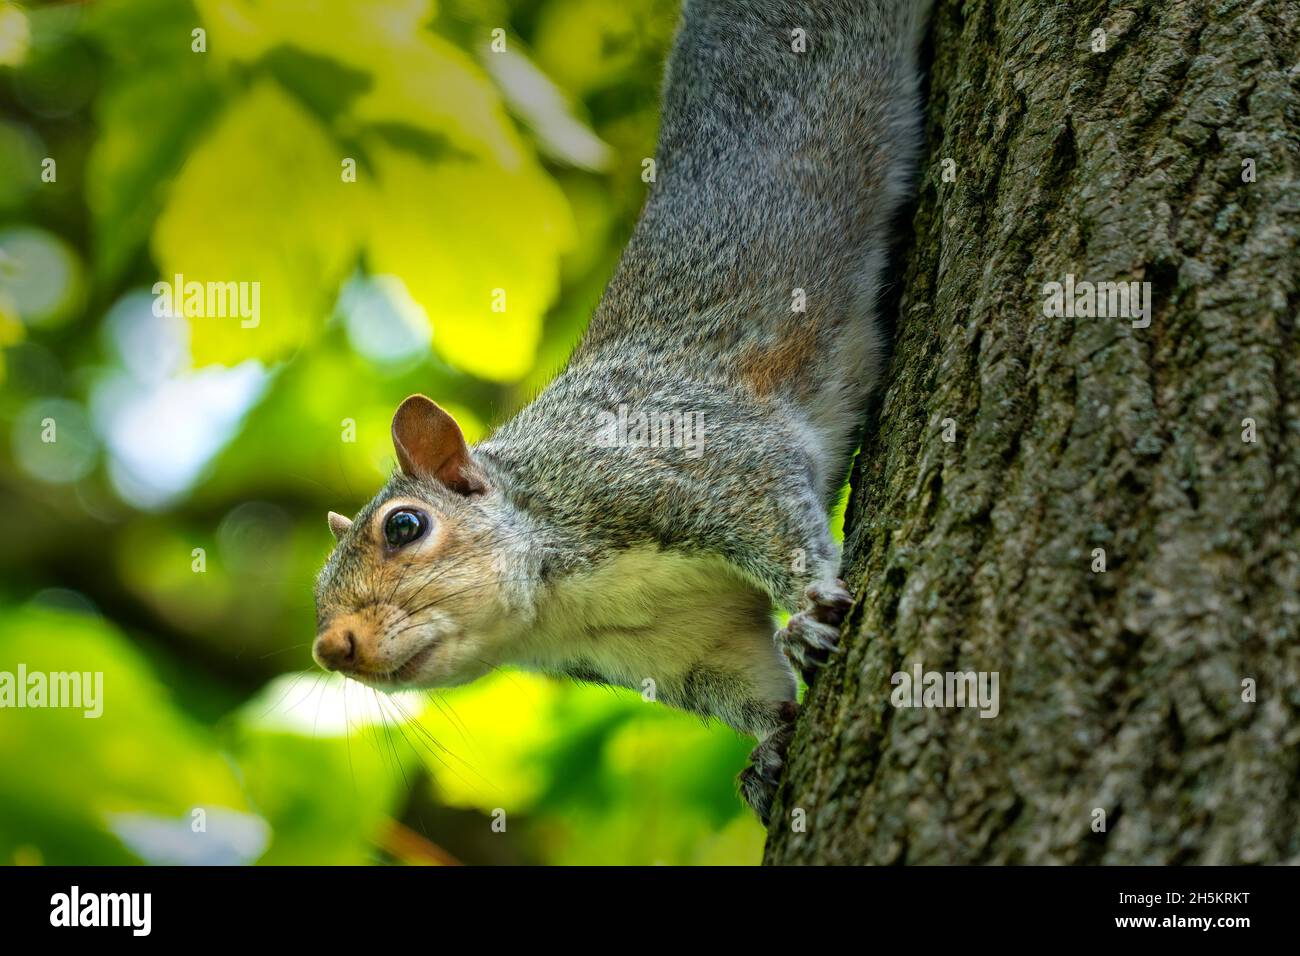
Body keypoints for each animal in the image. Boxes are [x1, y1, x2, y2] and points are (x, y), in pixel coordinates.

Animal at [314, 0, 932, 824]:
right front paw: (770, 751)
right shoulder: (680, 648)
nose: (332, 649)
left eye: (405, 527)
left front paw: (810, 613)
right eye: (316, 593)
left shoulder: (683, 458)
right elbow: (745, 680)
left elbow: (778, 522)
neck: (559, 594)